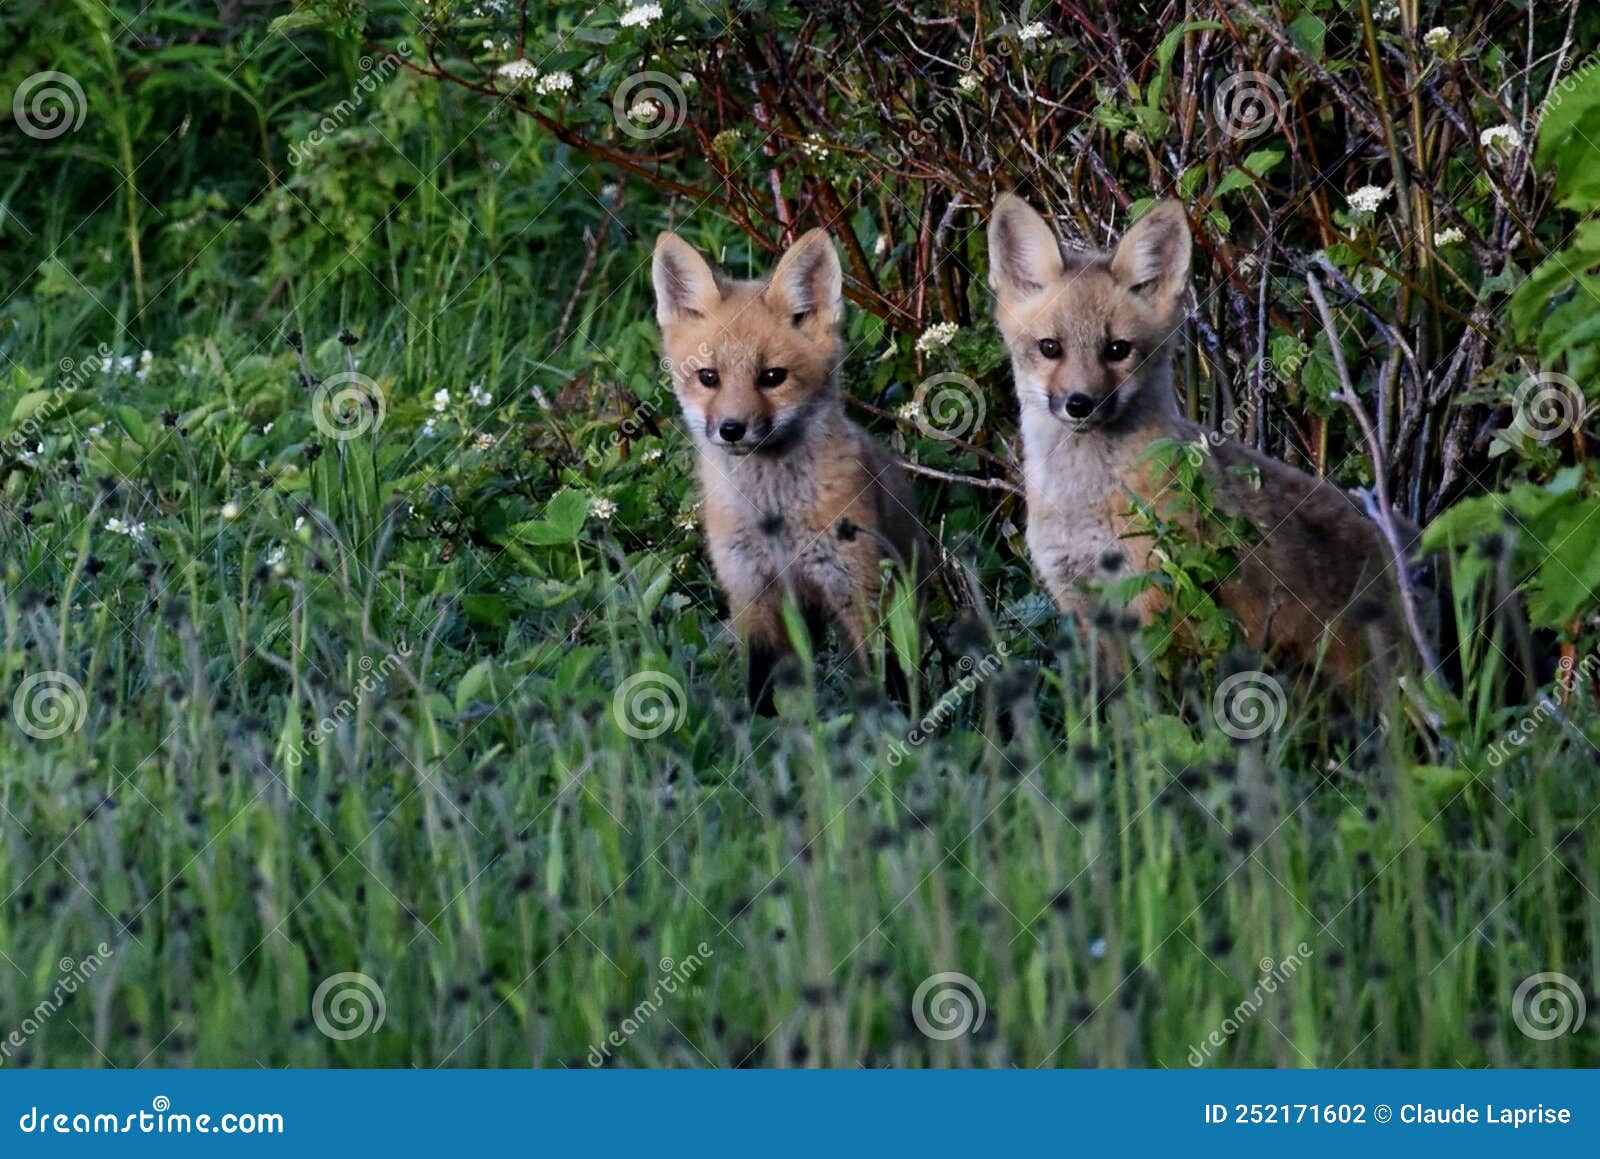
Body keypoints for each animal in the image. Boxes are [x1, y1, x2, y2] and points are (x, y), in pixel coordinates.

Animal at [652, 227, 925, 711]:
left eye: (772, 377)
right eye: (708, 378)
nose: (732, 429)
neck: (774, 515)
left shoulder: (857, 588)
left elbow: (877, 679)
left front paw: (885, 725)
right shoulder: (751, 593)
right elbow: (761, 686)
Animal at [986, 194, 1423, 685]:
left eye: (1117, 350)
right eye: (1049, 348)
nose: (1080, 404)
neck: (1084, 500)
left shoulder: (1159, 594)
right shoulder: (1081, 602)